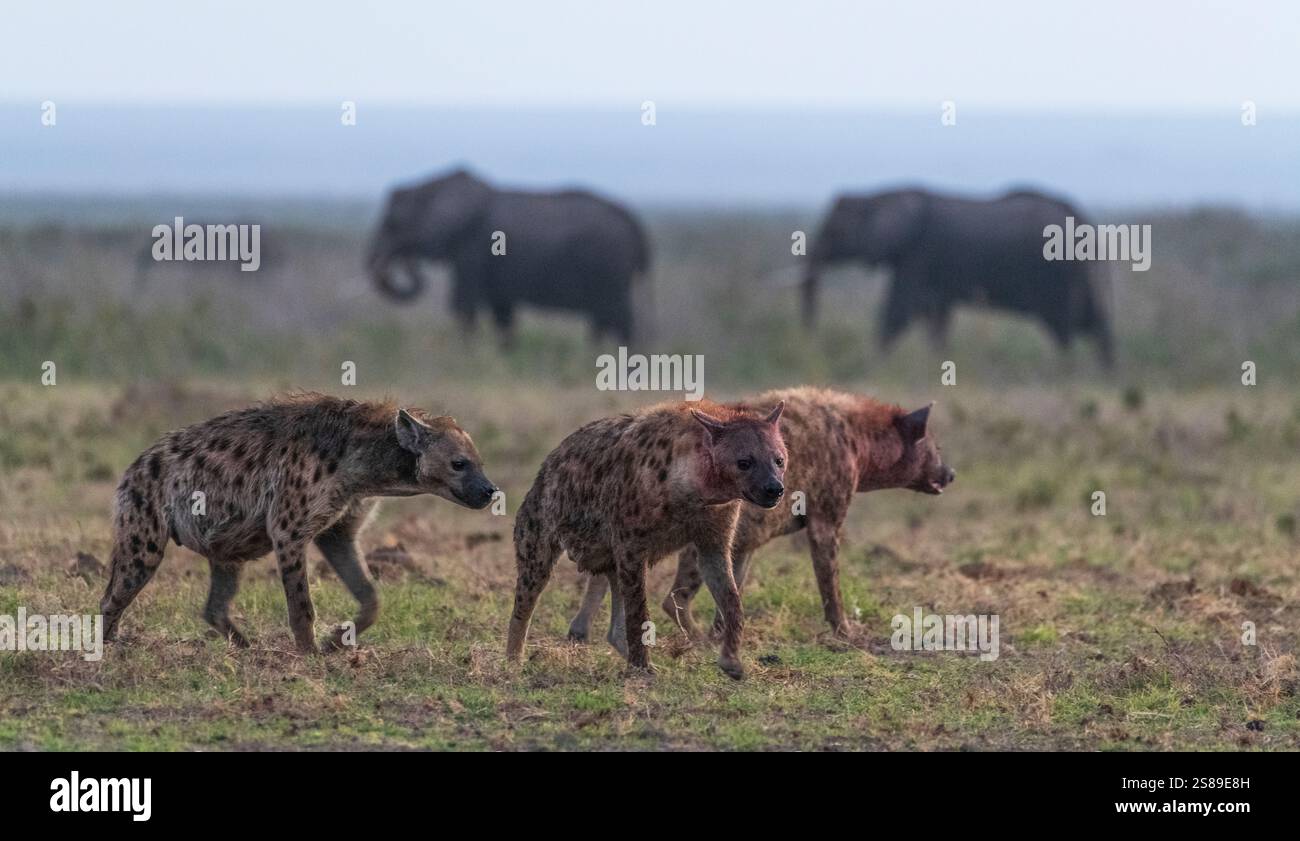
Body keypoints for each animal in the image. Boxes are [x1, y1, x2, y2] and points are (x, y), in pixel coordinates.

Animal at [367, 169, 650, 343]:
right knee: (606, 321)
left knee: (620, 320)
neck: (435, 185)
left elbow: (465, 308)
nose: (404, 255)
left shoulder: (472, 249)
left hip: (610, 275)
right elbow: (502, 318)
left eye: (393, 222)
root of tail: (633, 221)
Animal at [803, 187, 1114, 367]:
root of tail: (1083, 220)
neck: (879, 197)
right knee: (1094, 324)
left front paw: (875, 364)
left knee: (1066, 329)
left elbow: (898, 313)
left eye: (835, 231)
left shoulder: (917, 255)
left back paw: (1066, 371)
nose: (813, 340)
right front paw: (937, 360)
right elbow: (935, 318)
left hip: (1059, 277)